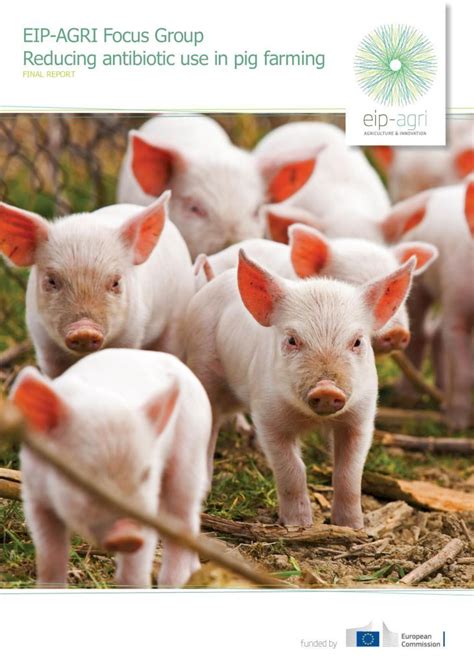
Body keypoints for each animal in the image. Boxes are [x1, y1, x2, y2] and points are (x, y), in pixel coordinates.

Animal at [0, 192, 195, 378]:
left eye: (116, 282)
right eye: (51, 281)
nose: (84, 330)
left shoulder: (133, 330)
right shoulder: (43, 342)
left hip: (177, 316)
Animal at [10, 348, 211, 587]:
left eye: (145, 475)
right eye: (84, 475)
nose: (127, 532)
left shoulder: (146, 506)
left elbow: (134, 572)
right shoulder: (35, 497)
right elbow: (50, 559)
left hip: (191, 453)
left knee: (184, 520)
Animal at [185, 251, 416, 528]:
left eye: (358, 341)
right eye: (292, 340)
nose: (327, 389)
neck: (311, 420)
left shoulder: (361, 416)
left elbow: (349, 472)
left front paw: (351, 526)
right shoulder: (268, 415)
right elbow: (292, 470)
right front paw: (298, 525)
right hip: (203, 365)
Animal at [380, 180, 474, 429]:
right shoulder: (457, 300)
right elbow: (464, 373)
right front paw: (456, 425)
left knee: (437, 334)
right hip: (417, 285)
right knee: (421, 334)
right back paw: (407, 397)